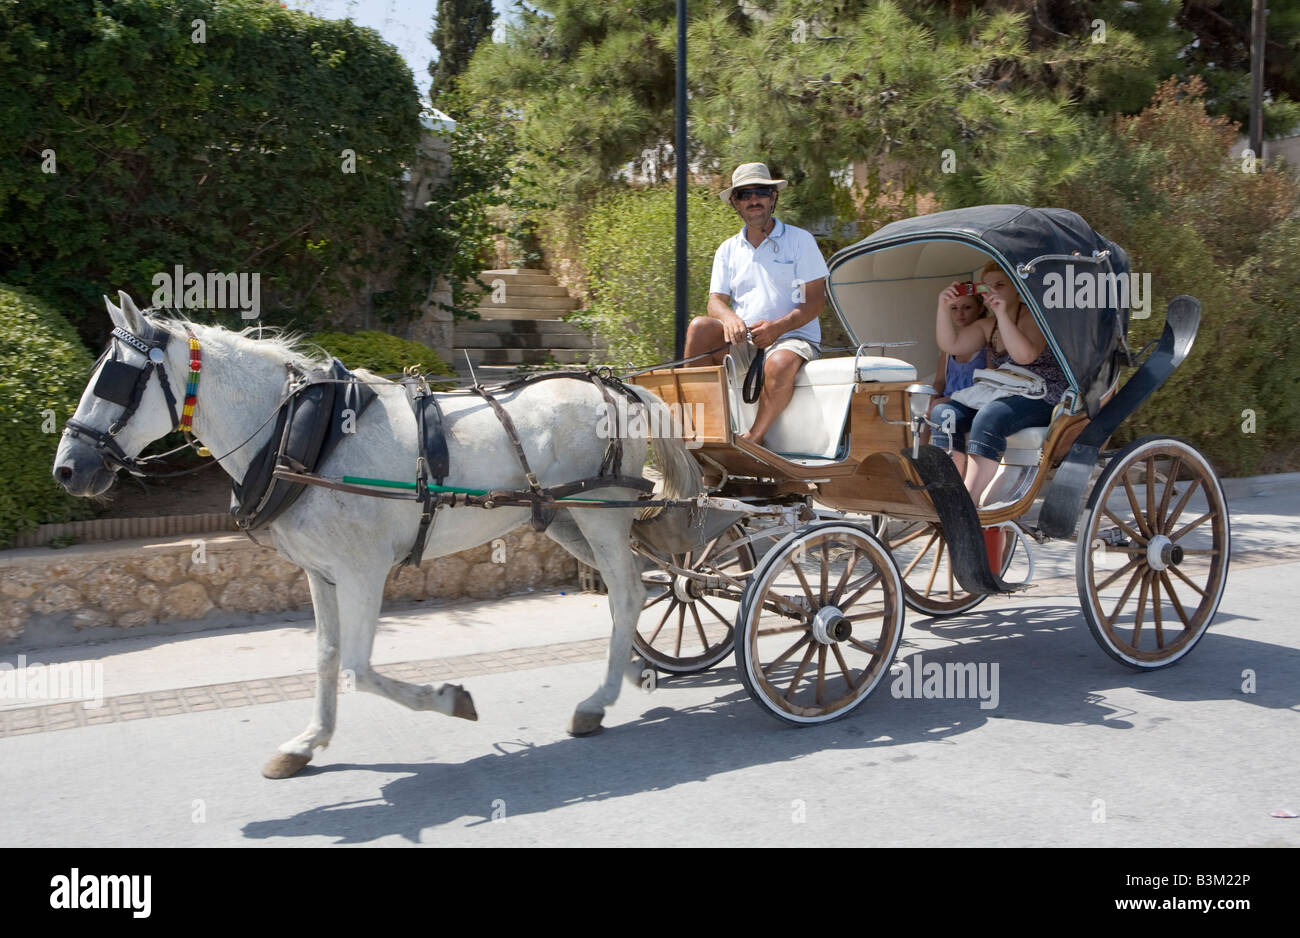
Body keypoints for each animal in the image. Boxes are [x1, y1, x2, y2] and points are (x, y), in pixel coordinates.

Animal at [53, 292, 704, 778]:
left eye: (114, 380)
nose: (66, 469)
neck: (301, 436)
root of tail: (619, 387)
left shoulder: (363, 571)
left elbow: (359, 668)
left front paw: (449, 699)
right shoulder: (321, 572)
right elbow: (325, 657)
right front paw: (308, 742)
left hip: (601, 515)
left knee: (629, 593)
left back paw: (598, 700)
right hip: (568, 520)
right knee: (635, 593)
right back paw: (631, 672)